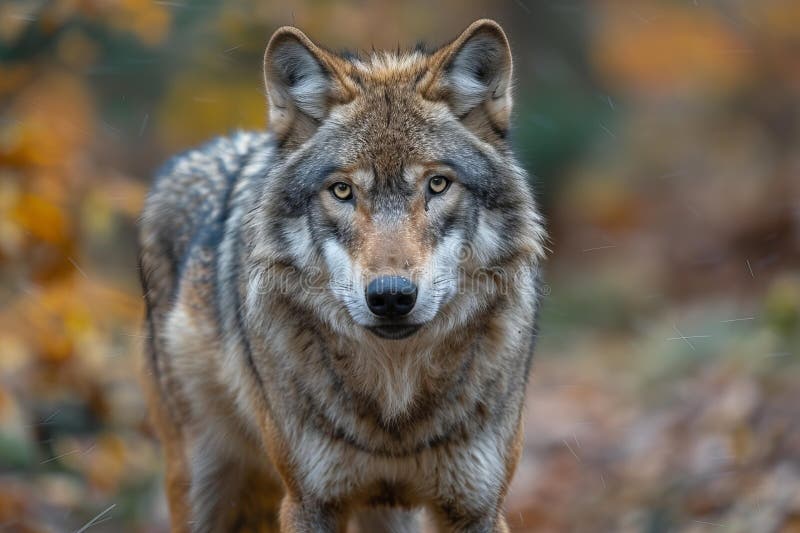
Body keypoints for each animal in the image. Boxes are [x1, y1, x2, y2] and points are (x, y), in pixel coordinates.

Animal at [138, 19, 547, 532]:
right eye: (342, 190)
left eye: (437, 184)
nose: (391, 297)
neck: (395, 398)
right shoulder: (309, 501)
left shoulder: (476, 506)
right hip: (200, 483)